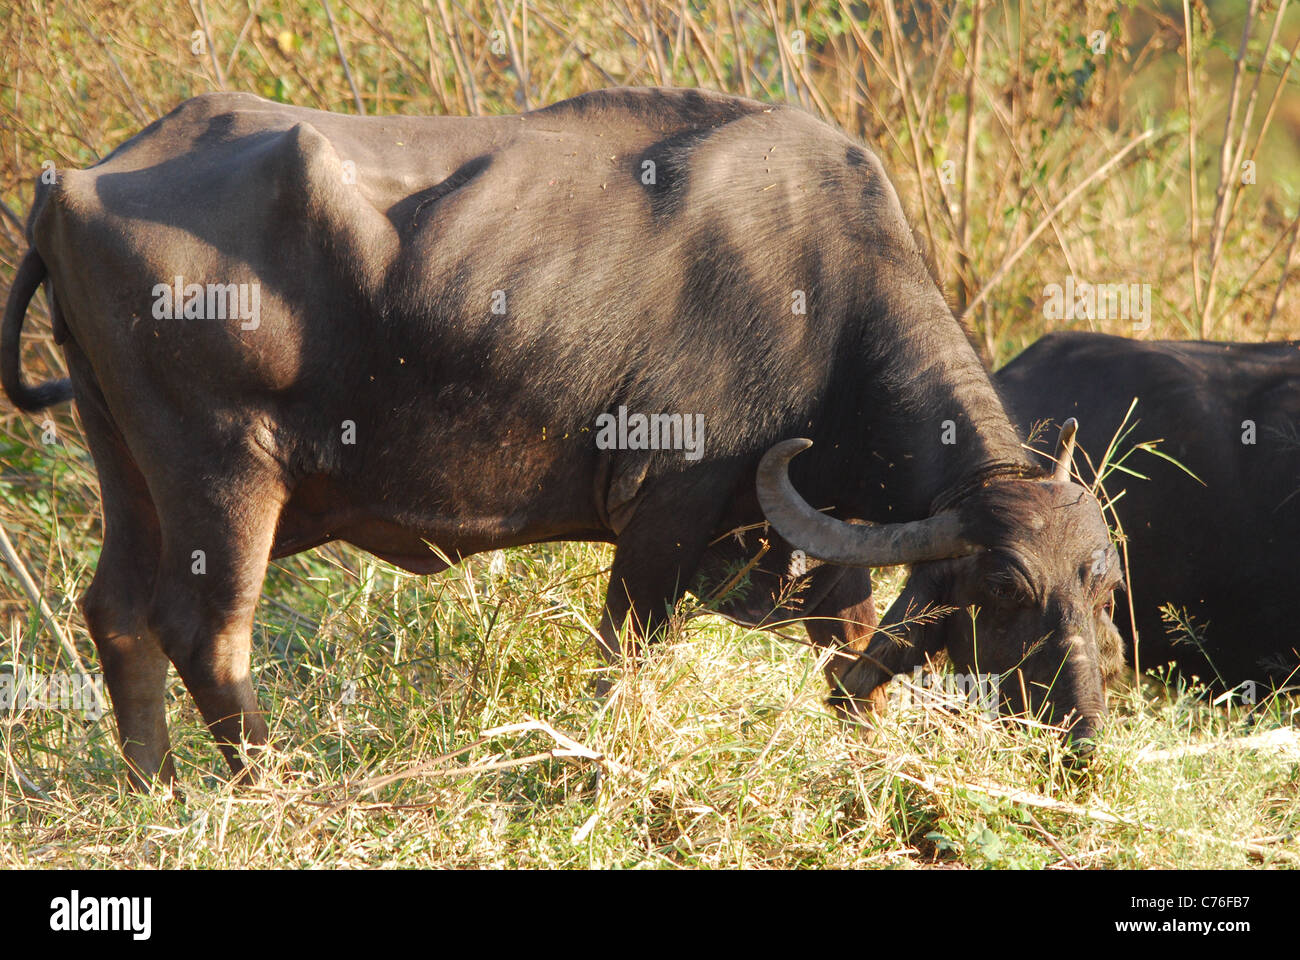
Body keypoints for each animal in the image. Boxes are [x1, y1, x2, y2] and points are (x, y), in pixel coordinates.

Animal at [2, 88, 1119, 787]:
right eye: (1008, 590)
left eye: (1102, 585)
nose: (1084, 739)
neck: (824, 302)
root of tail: (71, 183)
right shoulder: (664, 513)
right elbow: (621, 661)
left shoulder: (811, 539)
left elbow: (850, 665)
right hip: (226, 474)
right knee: (205, 630)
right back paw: (265, 791)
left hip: (125, 463)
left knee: (117, 614)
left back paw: (155, 797)